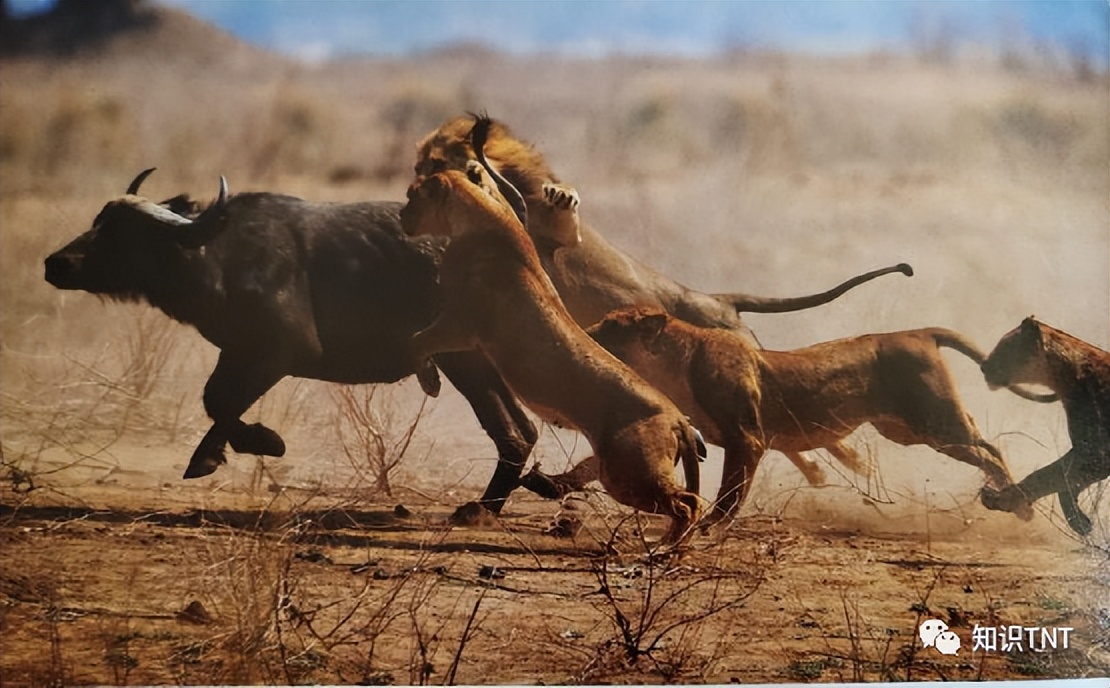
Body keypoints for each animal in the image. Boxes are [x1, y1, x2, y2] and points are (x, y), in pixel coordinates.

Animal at [401, 117, 705, 546]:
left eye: (413, 196)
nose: (400, 216)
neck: (481, 215)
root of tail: (679, 418)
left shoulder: (461, 322)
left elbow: (417, 341)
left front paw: (430, 383)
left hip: (628, 473)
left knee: (689, 504)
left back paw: (665, 549)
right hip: (627, 467)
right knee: (684, 500)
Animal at [413, 115, 913, 332]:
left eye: (434, 161)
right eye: (420, 165)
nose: (416, 179)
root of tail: (715, 299)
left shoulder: (560, 241)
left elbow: (563, 219)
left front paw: (561, 196)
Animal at [528, 306, 1051, 522]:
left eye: (609, 326)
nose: (582, 332)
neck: (675, 364)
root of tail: (919, 331)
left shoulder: (747, 439)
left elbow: (730, 492)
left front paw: (712, 526)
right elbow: (590, 465)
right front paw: (550, 483)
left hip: (934, 423)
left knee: (990, 448)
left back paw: (1019, 504)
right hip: (904, 430)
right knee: (983, 448)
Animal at [979, 317, 1109, 536]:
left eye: (1004, 345)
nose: (984, 366)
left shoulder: (1096, 455)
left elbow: (1045, 477)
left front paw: (997, 498)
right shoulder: (1084, 450)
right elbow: (1061, 477)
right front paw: (1081, 522)